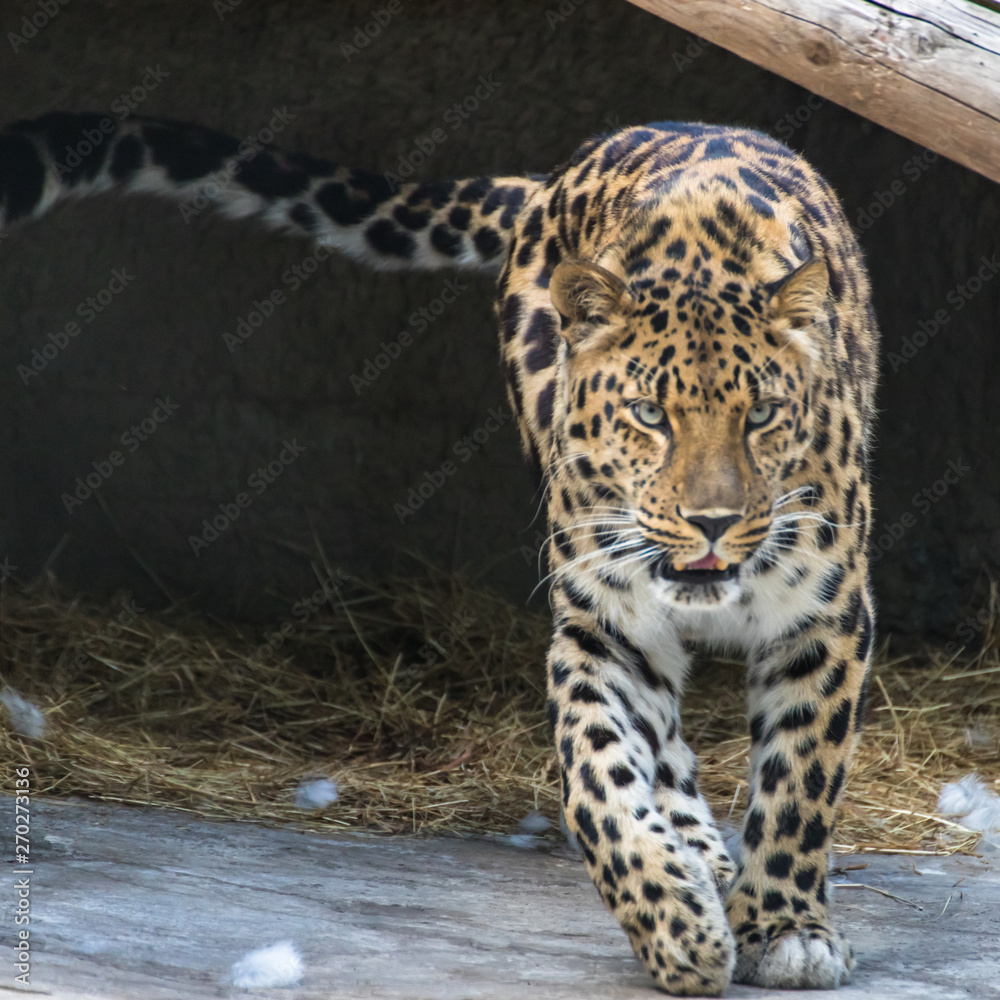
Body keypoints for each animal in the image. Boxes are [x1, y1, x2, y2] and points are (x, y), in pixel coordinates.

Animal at [0, 112, 876, 995]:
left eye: (761, 414)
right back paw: (695, 859)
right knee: (659, 751)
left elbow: (802, 781)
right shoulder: (603, 627)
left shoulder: (825, 618)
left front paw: (785, 928)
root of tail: (558, 176)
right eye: (648, 414)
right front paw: (672, 924)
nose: (712, 522)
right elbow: (598, 777)